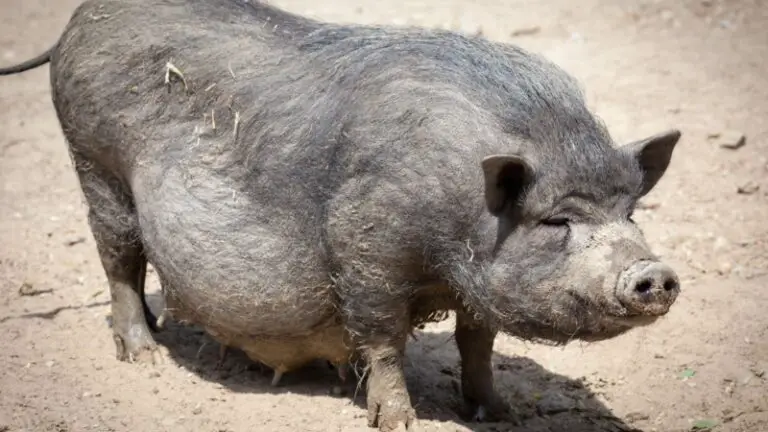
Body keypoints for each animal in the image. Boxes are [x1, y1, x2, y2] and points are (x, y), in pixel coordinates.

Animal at [0, 0, 682, 430]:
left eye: (631, 211)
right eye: (556, 221)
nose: (655, 273)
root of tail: (74, 23)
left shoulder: (471, 284)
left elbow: (477, 341)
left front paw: (500, 413)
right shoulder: (366, 246)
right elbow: (383, 340)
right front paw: (399, 423)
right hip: (94, 163)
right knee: (117, 258)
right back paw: (141, 354)